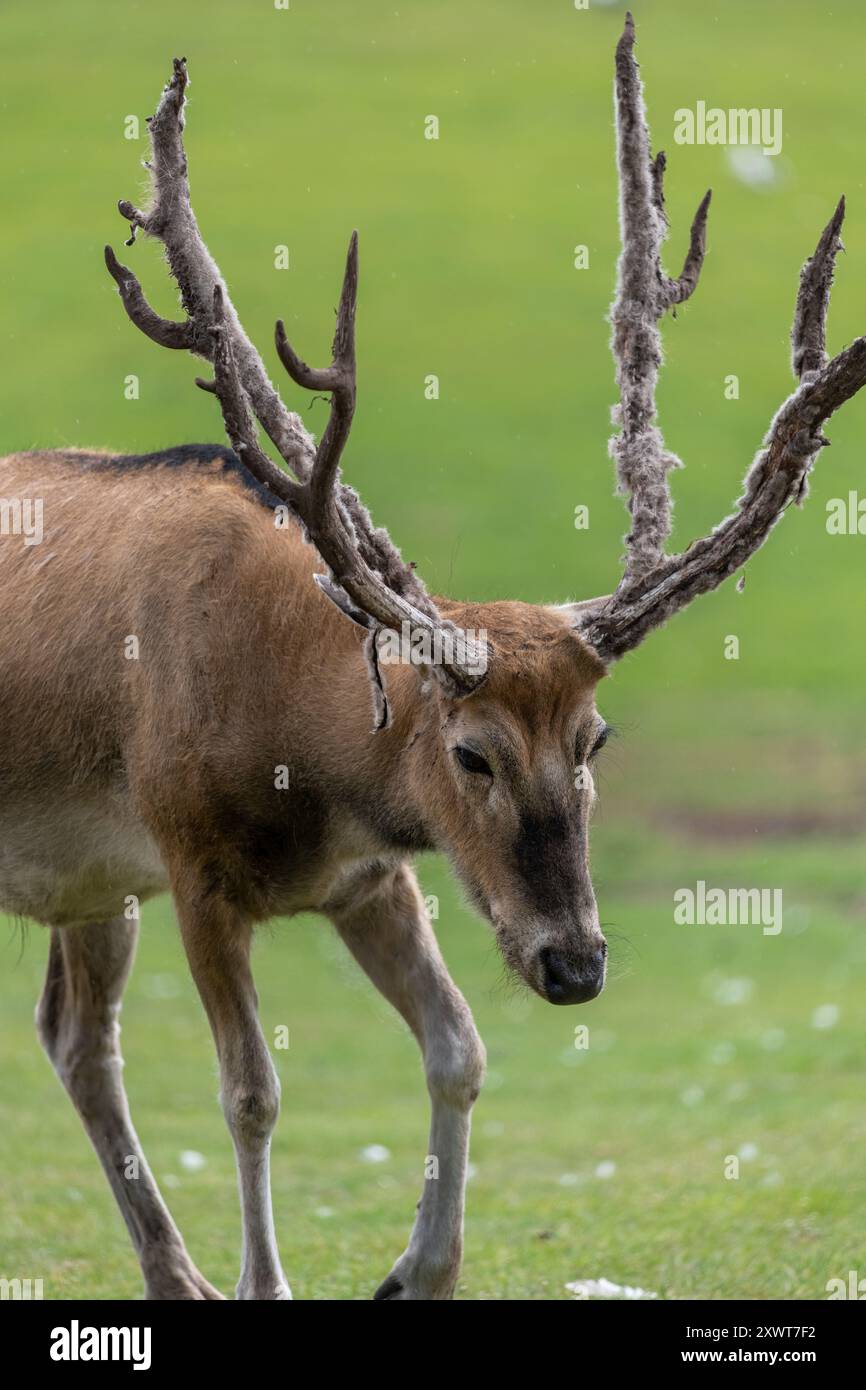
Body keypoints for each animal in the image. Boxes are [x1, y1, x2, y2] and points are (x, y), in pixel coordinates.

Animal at [1, 12, 863, 1301]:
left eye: (593, 736)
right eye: (469, 752)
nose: (575, 964)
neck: (303, 752)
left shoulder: (371, 877)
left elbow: (457, 1045)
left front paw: (418, 1267)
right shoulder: (192, 861)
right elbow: (250, 1092)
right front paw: (269, 1281)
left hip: (87, 883)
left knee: (74, 1038)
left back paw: (174, 1272)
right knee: (91, 1043)